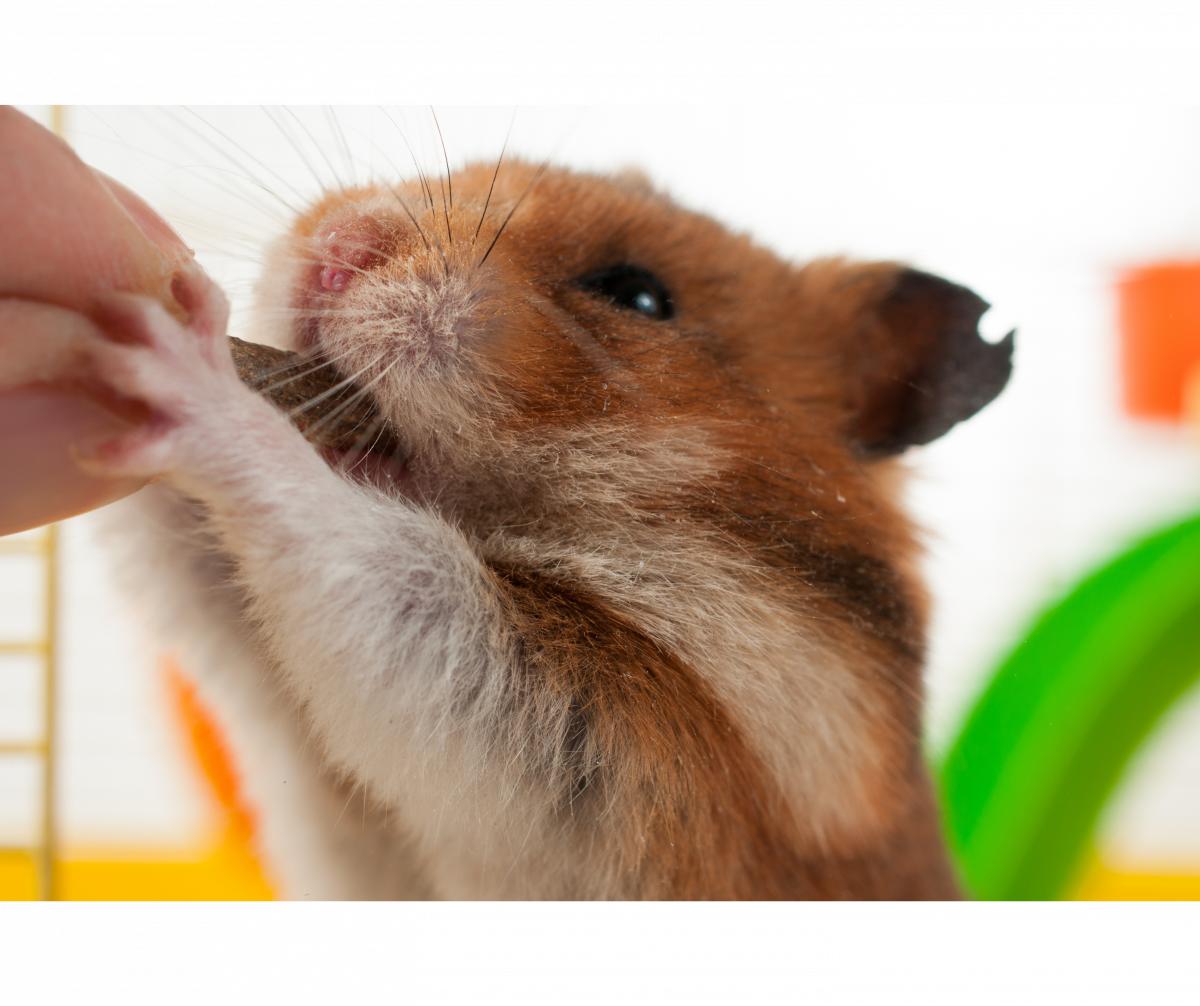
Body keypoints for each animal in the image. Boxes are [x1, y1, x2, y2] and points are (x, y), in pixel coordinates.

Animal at [87, 159, 1011, 900]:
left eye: (638, 295)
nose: (338, 246)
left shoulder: (599, 732)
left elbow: (359, 545)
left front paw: (188, 371)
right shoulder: (270, 686)